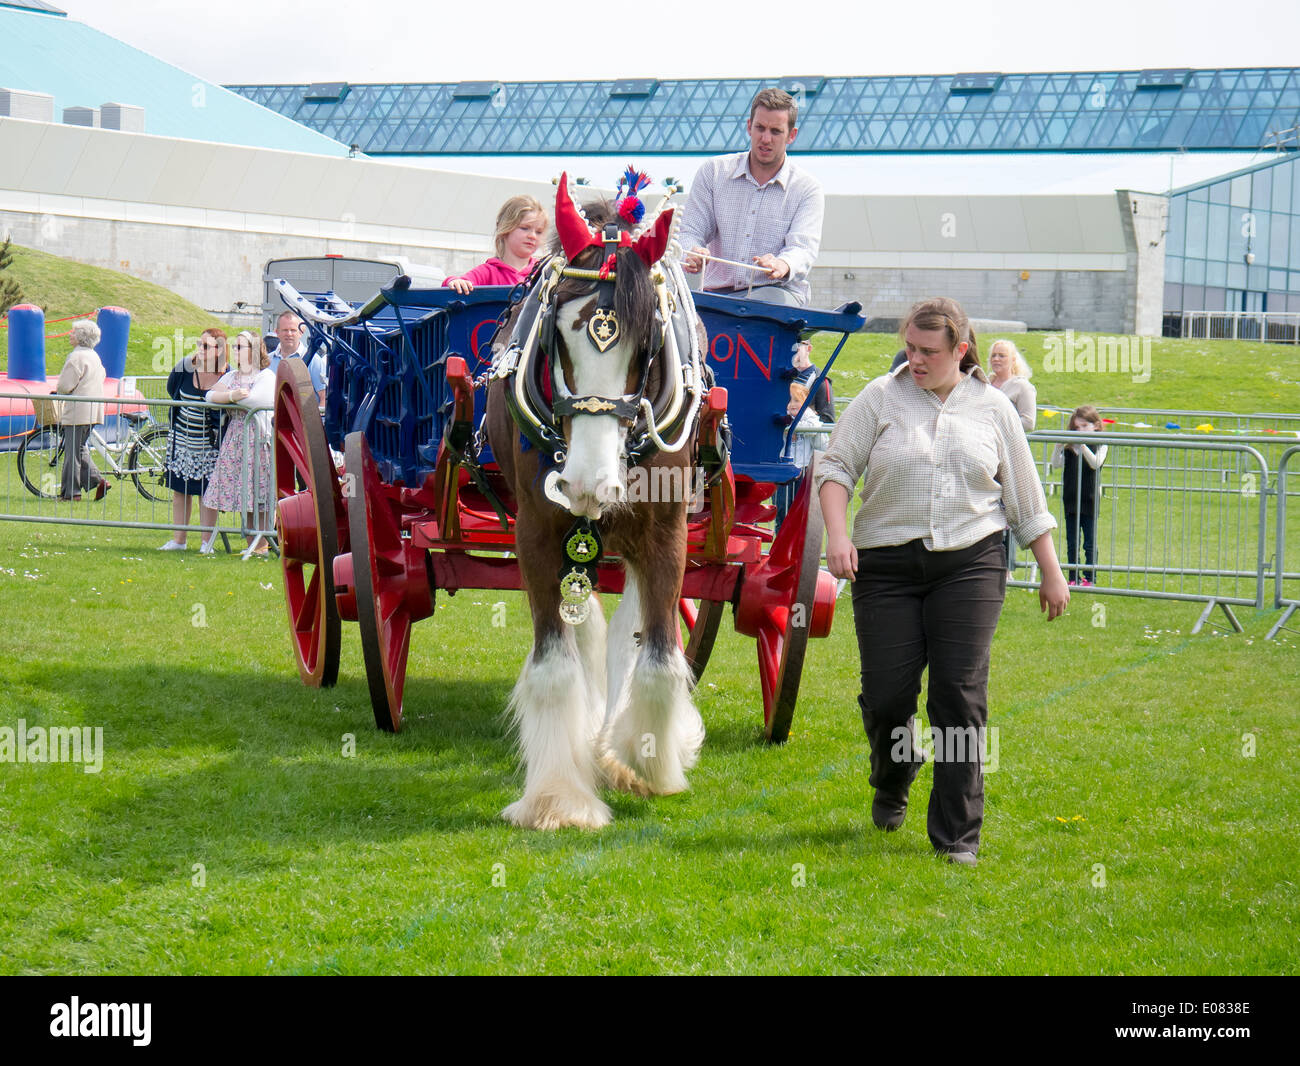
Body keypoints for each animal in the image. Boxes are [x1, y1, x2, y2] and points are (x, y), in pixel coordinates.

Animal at [484, 172, 707, 829]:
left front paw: (643, 763)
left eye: (649, 340)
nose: (586, 483)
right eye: (556, 331)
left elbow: (656, 657)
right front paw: (559, 798)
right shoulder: (537, 533)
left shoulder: (666, 534)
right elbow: (557, 662)